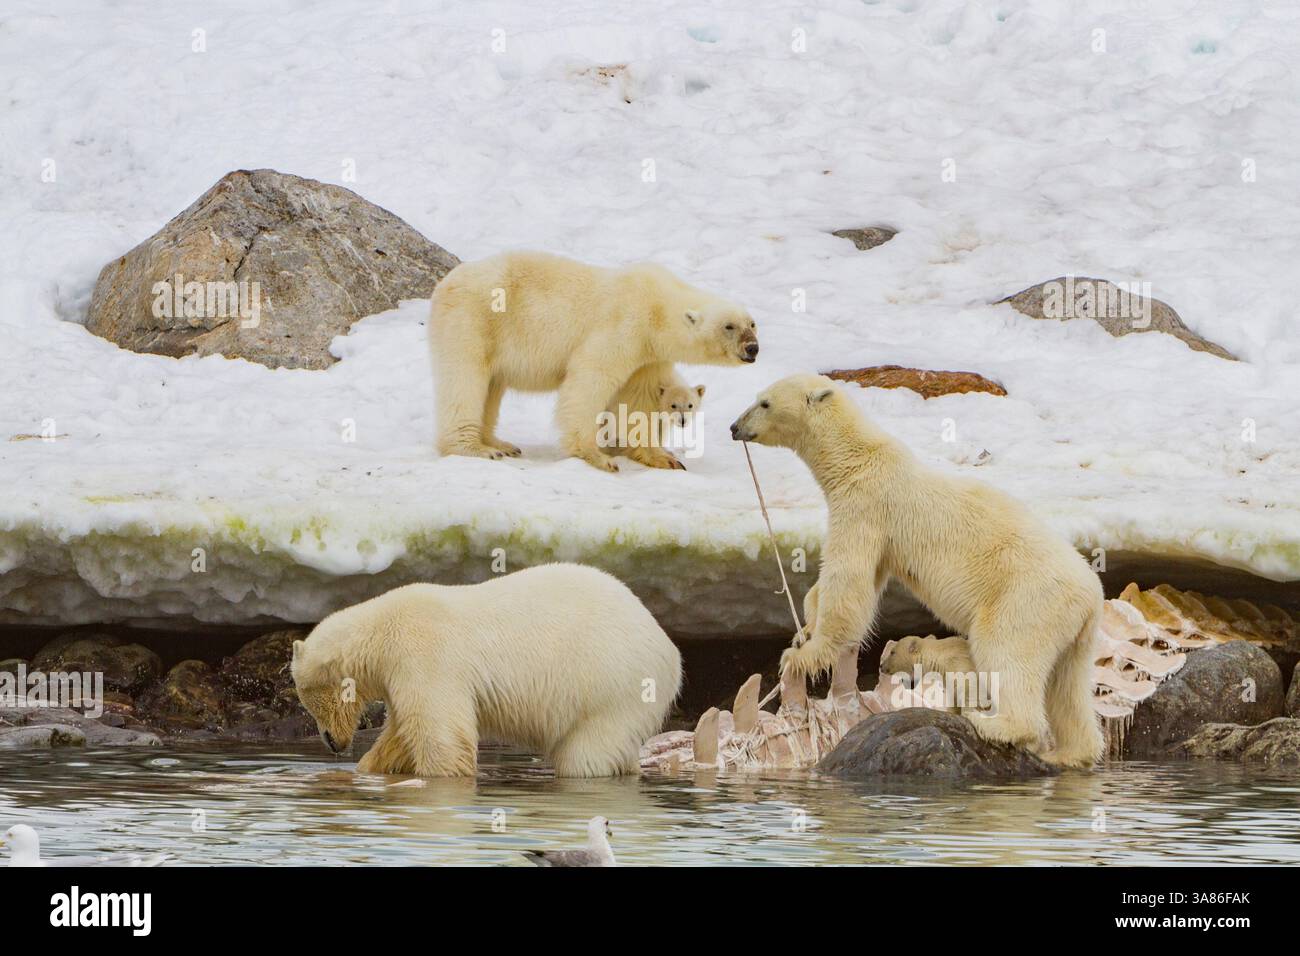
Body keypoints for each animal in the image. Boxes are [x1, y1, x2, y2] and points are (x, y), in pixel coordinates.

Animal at [290, 563, 682, 778]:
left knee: (587, 755)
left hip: (611, 687)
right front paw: (368, 767)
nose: (332, 742)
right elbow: (400, 734)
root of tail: (670, 652)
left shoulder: (425, 656)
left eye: (306, 697)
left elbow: (442, 733)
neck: (381, 631)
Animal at [428, 250, 757, 472]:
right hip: (473, 320)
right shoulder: (623, 328)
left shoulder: (648, 356)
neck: (656, 306)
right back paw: (475, 448)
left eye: (752, 323)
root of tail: (445, 283)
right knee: (465, 379)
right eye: (729, 326)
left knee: (492, 387)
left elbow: (639, 400)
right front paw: (597, 456)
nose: (753, 349)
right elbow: (590, 379)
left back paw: (500, 444)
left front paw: (664, 457)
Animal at [729, 373, 1104, 768]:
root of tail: (1090, 596)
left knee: (1006, 651)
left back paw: (997, 725)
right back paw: (1070, 752)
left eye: (764, 402)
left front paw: (804, 654)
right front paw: (805, 629)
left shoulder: (865, 505)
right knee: (1068, 685)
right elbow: (860, 582)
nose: (734, 427)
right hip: (1074, 630)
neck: (857, 459)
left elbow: (848, 579)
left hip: (1026, 598)